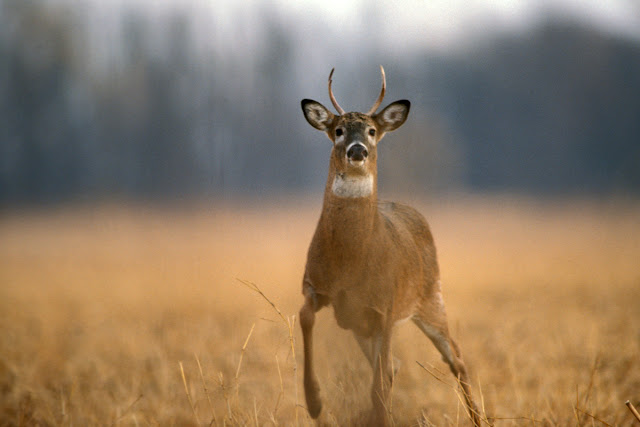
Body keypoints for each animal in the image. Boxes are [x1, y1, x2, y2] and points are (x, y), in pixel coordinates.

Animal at [299, 67, 481, 426]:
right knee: (394, 367)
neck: (350, 260)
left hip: (431, 298)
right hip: (361, 326)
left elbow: (379, 385)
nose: (357, 151)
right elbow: (304, 317)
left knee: (457, 359)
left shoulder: (385, 305)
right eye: (338, 130)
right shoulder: (318, 287)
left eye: (371, 131)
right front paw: (314, 401)